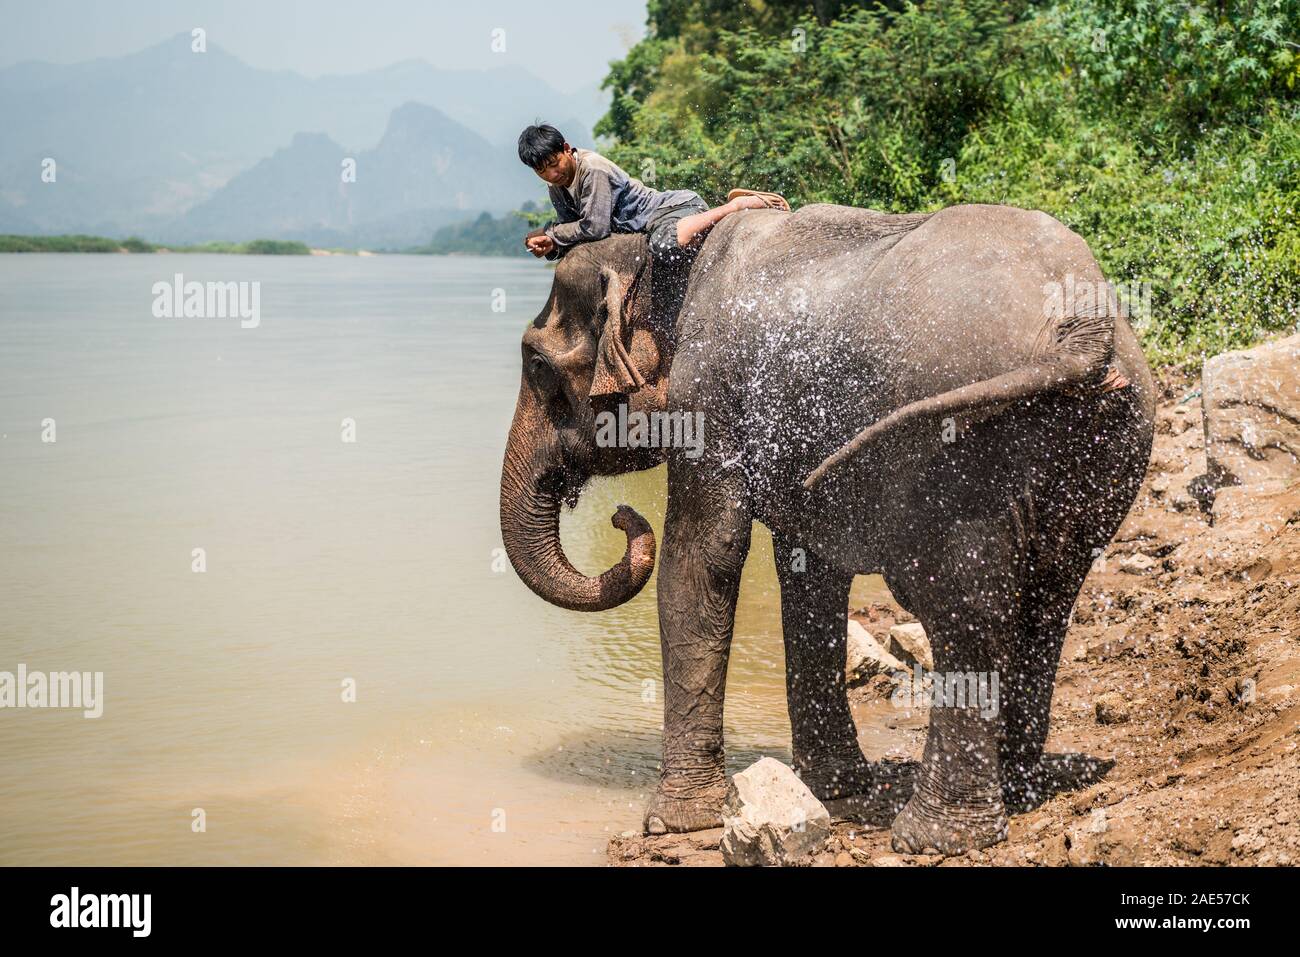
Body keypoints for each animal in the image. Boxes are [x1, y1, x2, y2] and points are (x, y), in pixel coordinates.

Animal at [499, 202, 1155, 854]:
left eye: (537, 364)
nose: (622, 516)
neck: (663, 259)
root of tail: (1081, 325)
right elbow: (808, 576)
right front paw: (833, 787)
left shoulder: (708, 392)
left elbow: (702, 557)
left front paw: (677, 823)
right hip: (1108, 442)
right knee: (1047, 599)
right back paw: (1016, 788)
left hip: (961, 449)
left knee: (964, 608)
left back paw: (934, 837)